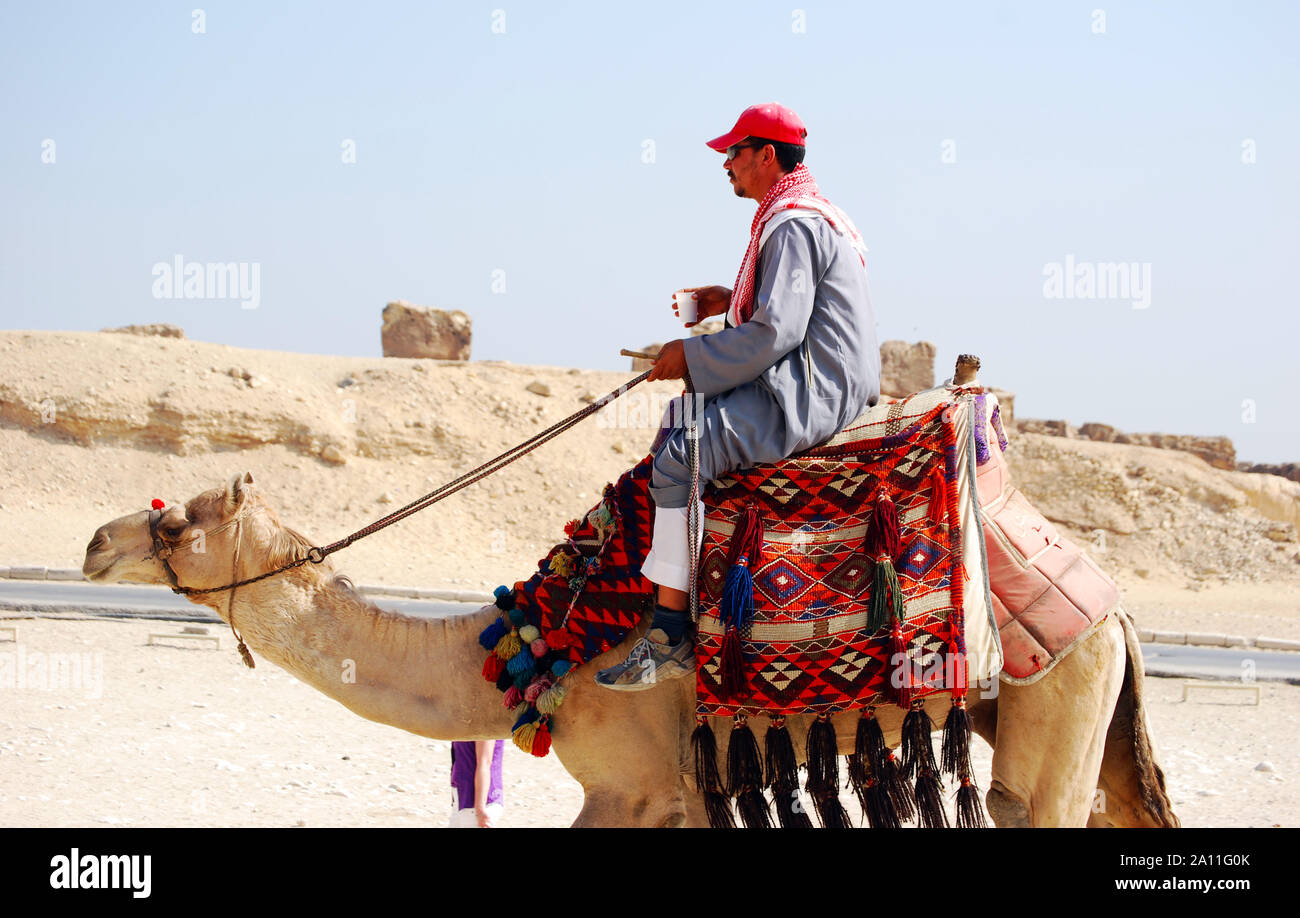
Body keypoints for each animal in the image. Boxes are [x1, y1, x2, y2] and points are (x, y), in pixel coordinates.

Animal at [82, 470, 1179, 828]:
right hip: (1077, 708)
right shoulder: (684, 792)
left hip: (1057, 696)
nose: (95, 543)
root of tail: (1117, 610)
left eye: (175, 522)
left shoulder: (634, 783)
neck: (532, 650)